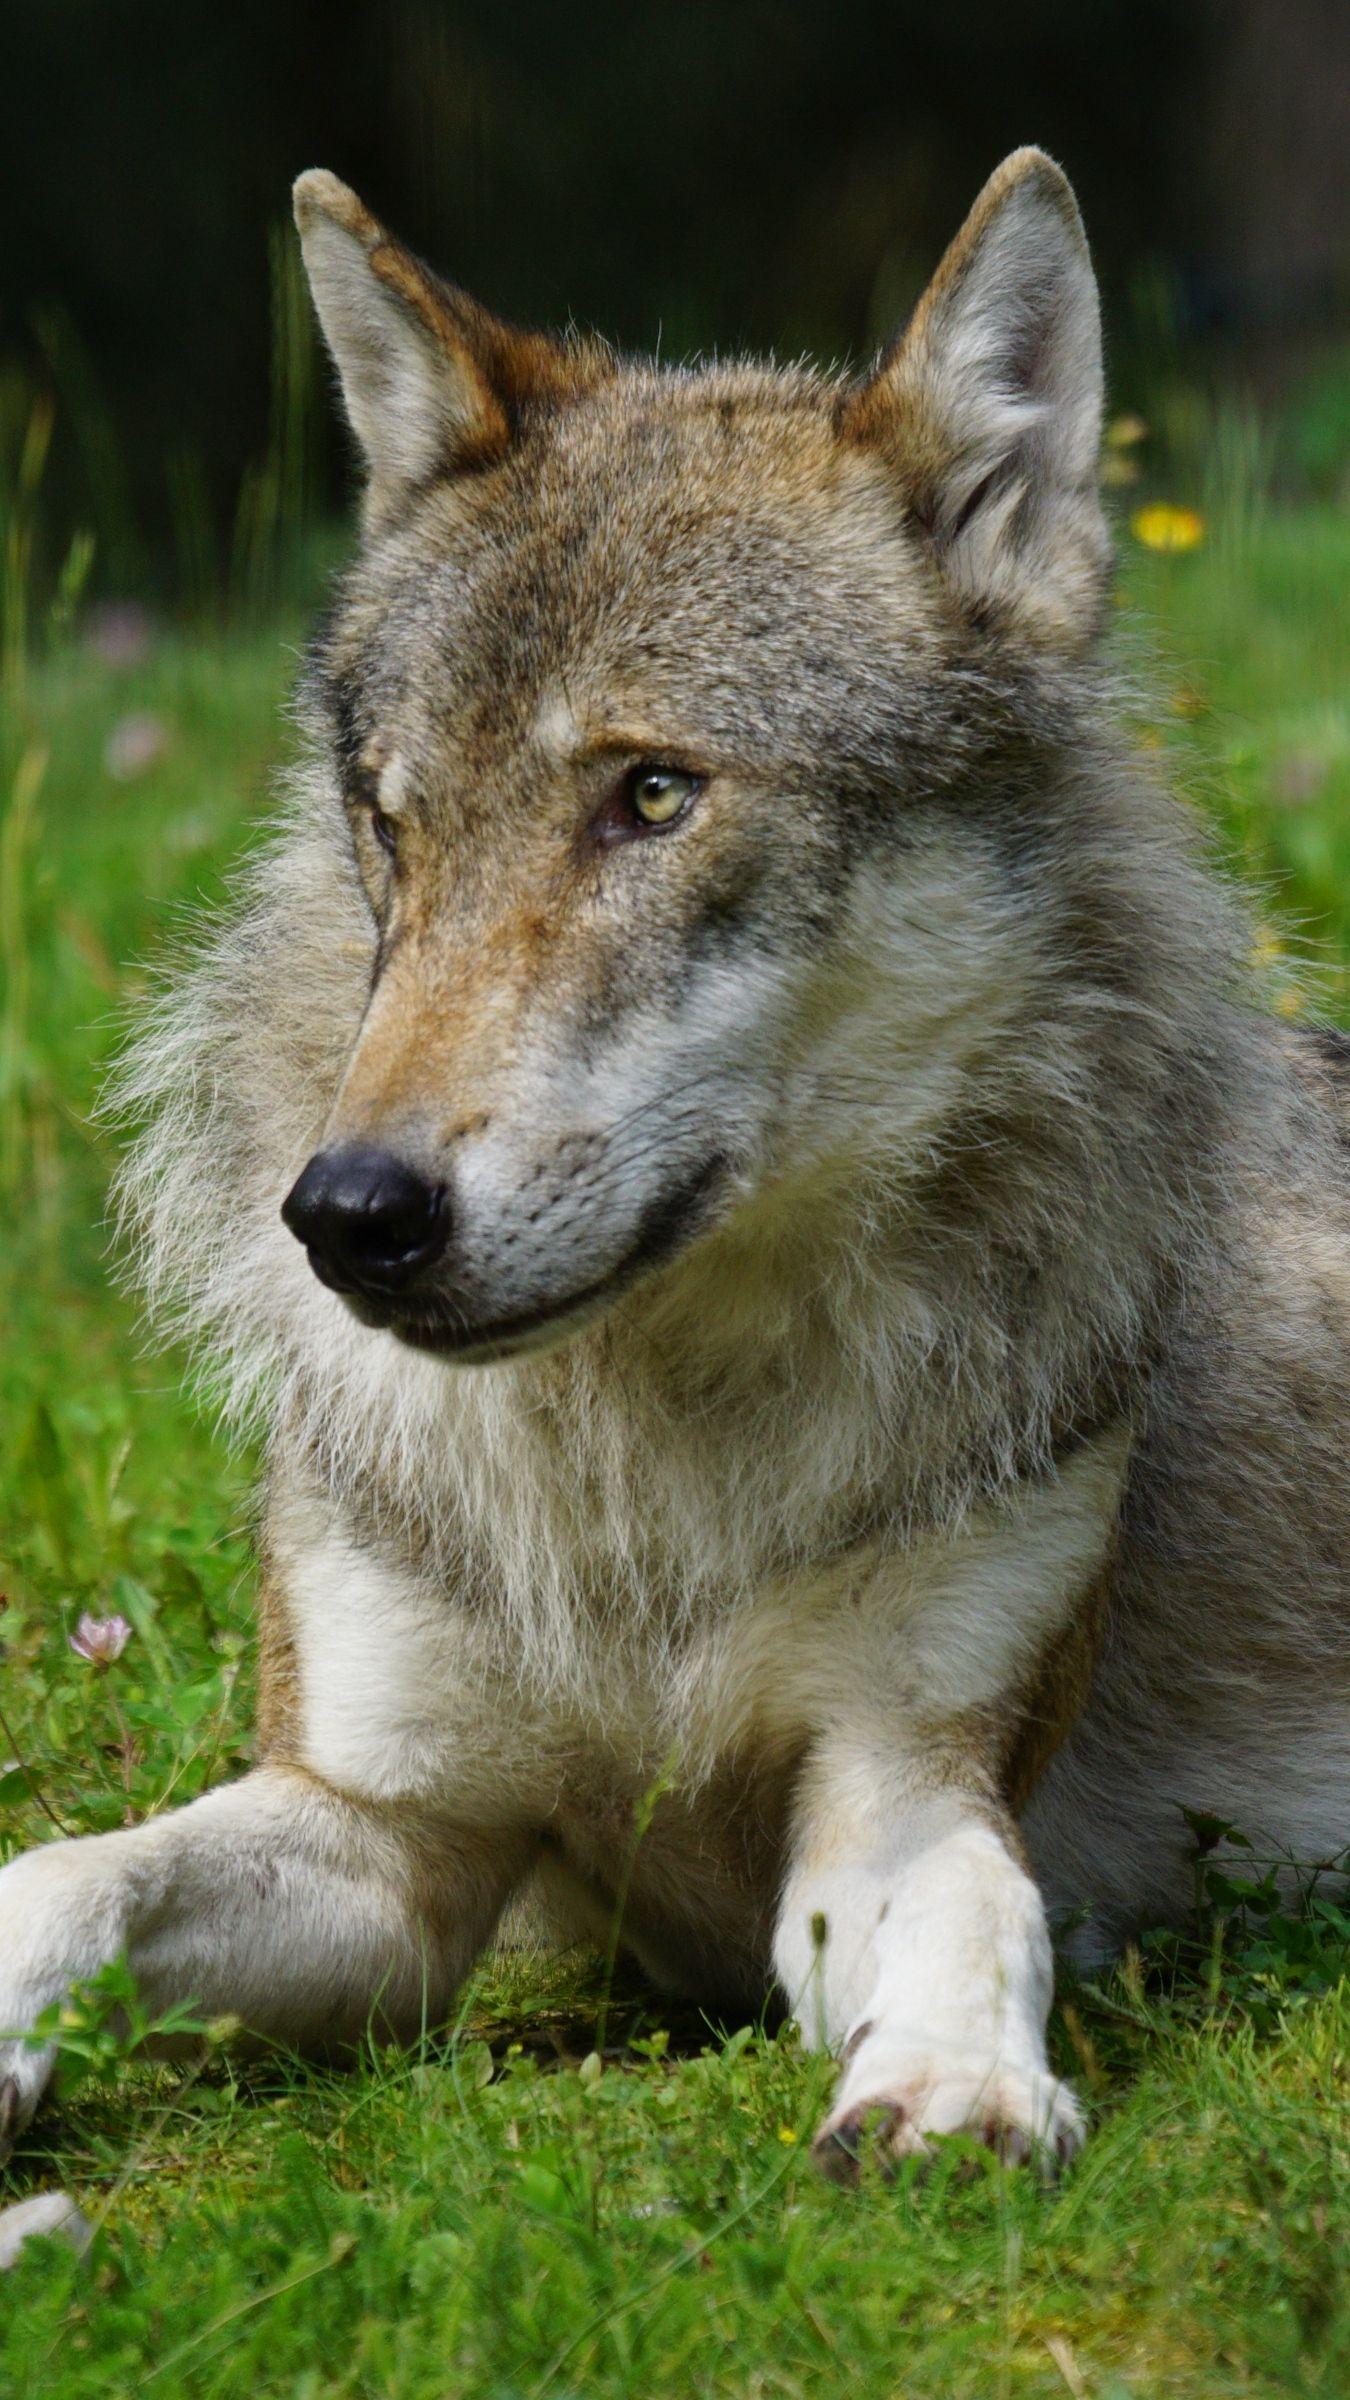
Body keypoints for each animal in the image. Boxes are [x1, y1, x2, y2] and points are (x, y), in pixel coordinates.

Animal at [1, 147, 1346, 2177]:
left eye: (652, 795)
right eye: (391, 827)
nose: (348, 1217)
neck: (655, 1492)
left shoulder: (897, 1777)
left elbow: (980, 1905)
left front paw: (953, 2083)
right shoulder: (389, 1839)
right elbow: (60, 1881)